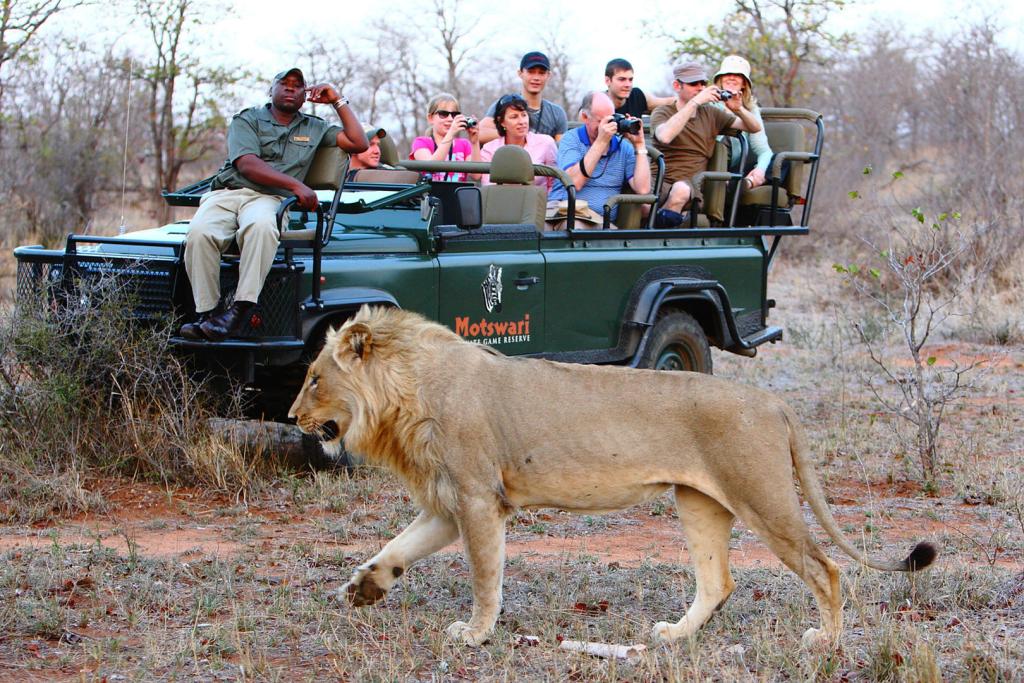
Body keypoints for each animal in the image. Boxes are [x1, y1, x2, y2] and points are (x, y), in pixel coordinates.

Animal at [290, 307, 937, 651]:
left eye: (316, 378)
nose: (292, 416)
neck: (406, 394)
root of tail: (774, 401)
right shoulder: (450, 502)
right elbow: (397, 547)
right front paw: (364, 589)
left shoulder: (478, 499)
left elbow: (484, 577)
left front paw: (474, 634)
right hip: (699, 503)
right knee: (717, 581)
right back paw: (673, 635)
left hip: (764, 497)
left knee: (826, 569)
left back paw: (826, 642)